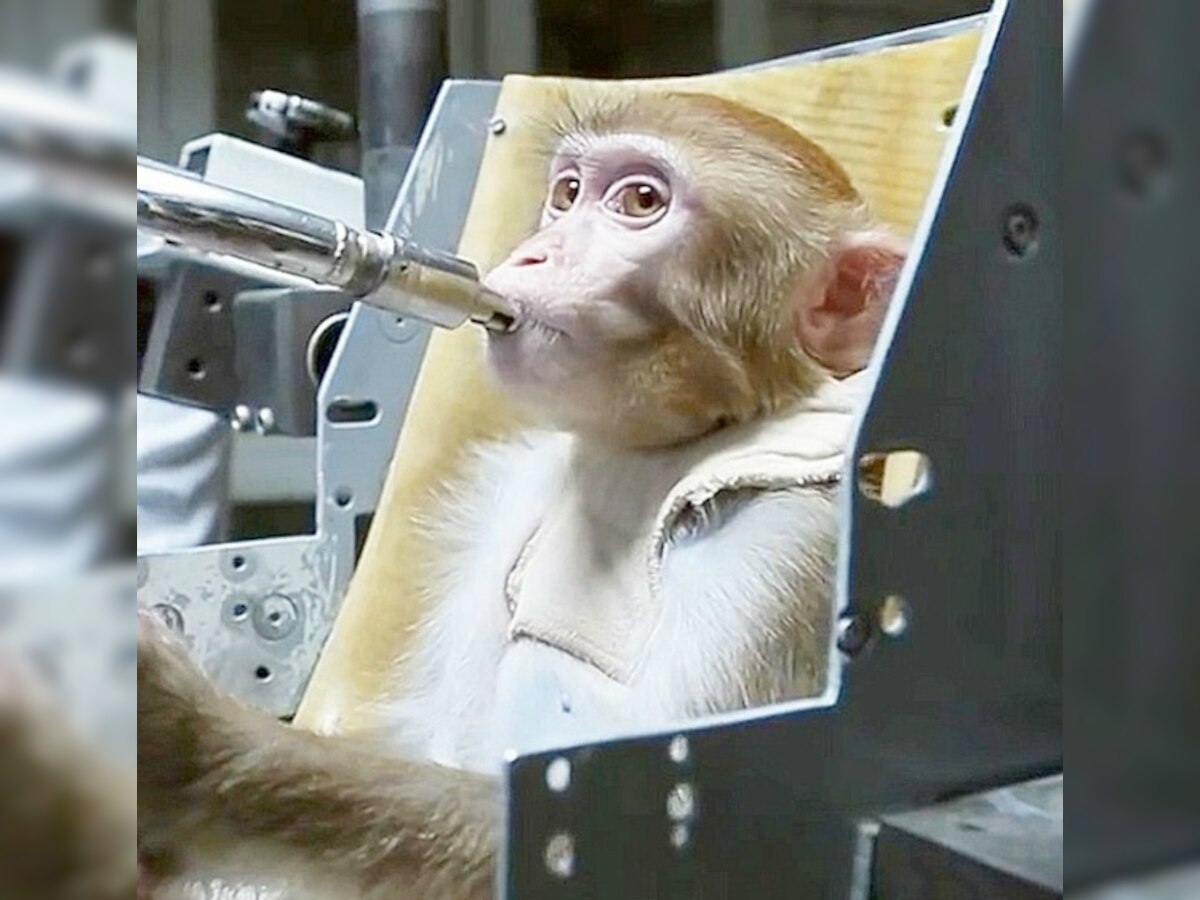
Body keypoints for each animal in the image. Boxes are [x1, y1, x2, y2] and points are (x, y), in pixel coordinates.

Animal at [136, 91, 907, 898]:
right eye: (566, 194)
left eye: (641, 201)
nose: (532, 253)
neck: (661, 452)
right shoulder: (505, 496)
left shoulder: (787, 555)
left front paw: (195, 747)